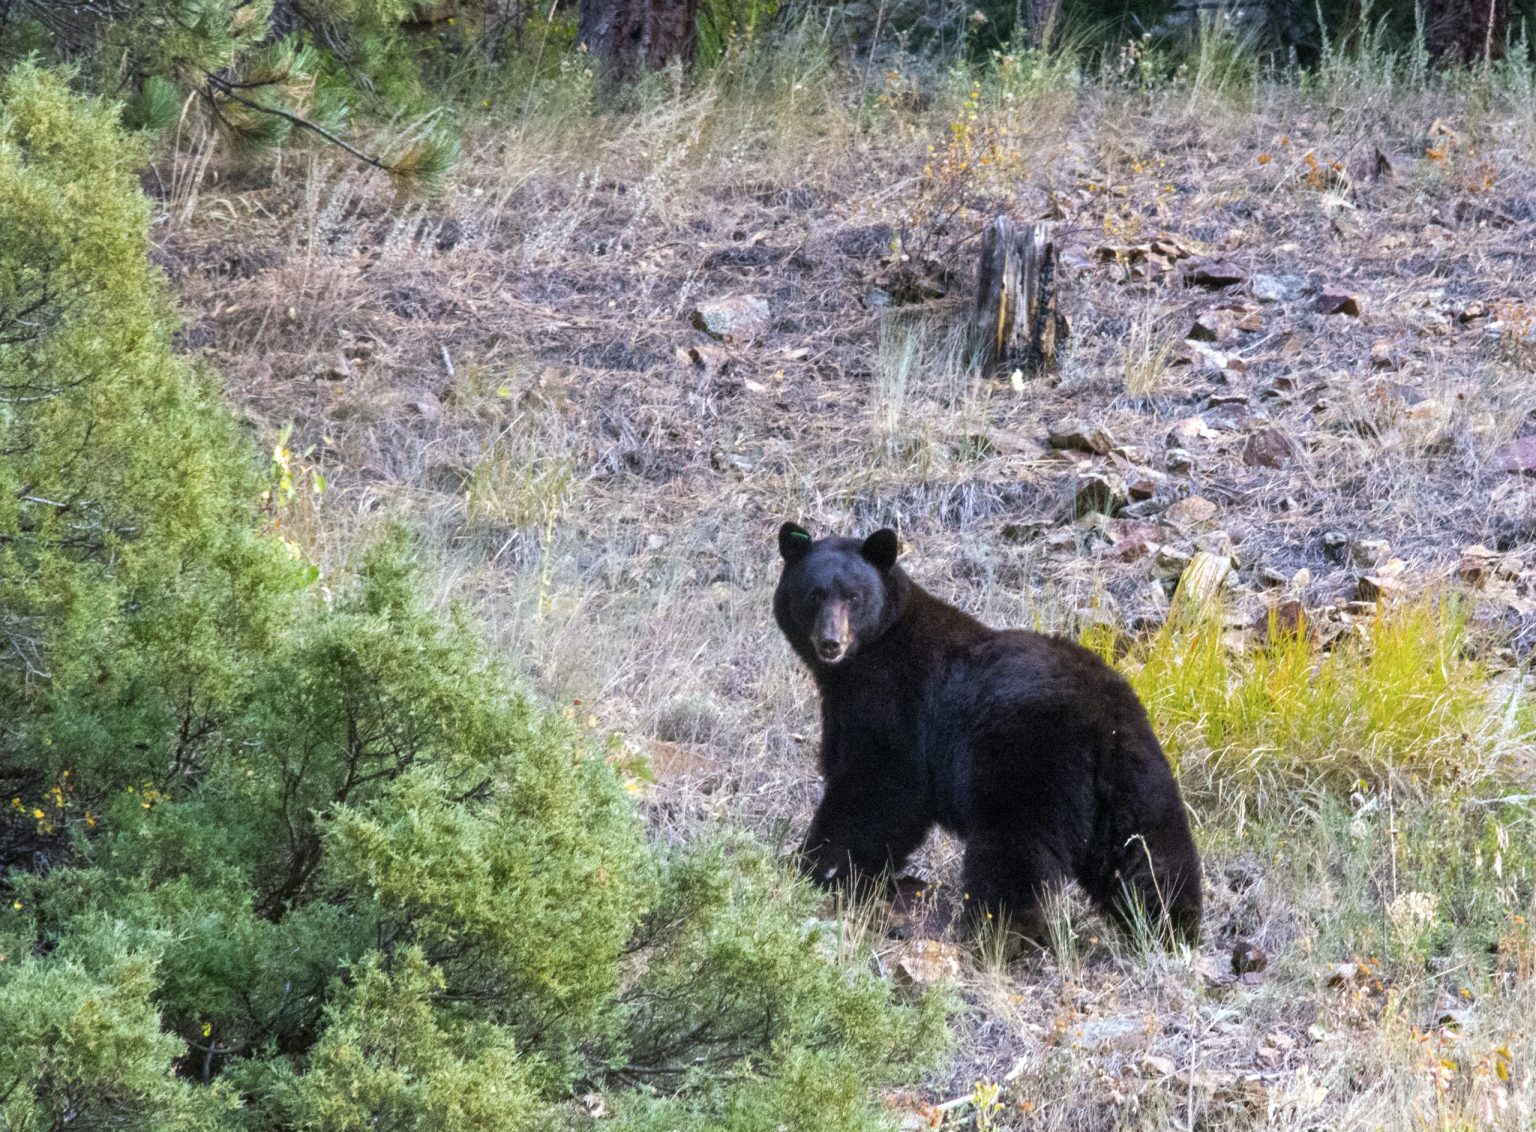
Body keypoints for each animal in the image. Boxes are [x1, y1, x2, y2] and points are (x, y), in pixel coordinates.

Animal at [773, 521, 1201, 946]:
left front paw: (815, 865)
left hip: (1028, 764)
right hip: (1136, 777)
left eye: (854, 596)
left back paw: (998, 932)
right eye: (814, 594)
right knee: (1150, 849)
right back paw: (1172, 923)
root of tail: (1104, 724)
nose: (831, 642)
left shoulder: (895, 703)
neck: (864, 657)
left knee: (1015, 852)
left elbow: (876, 789)